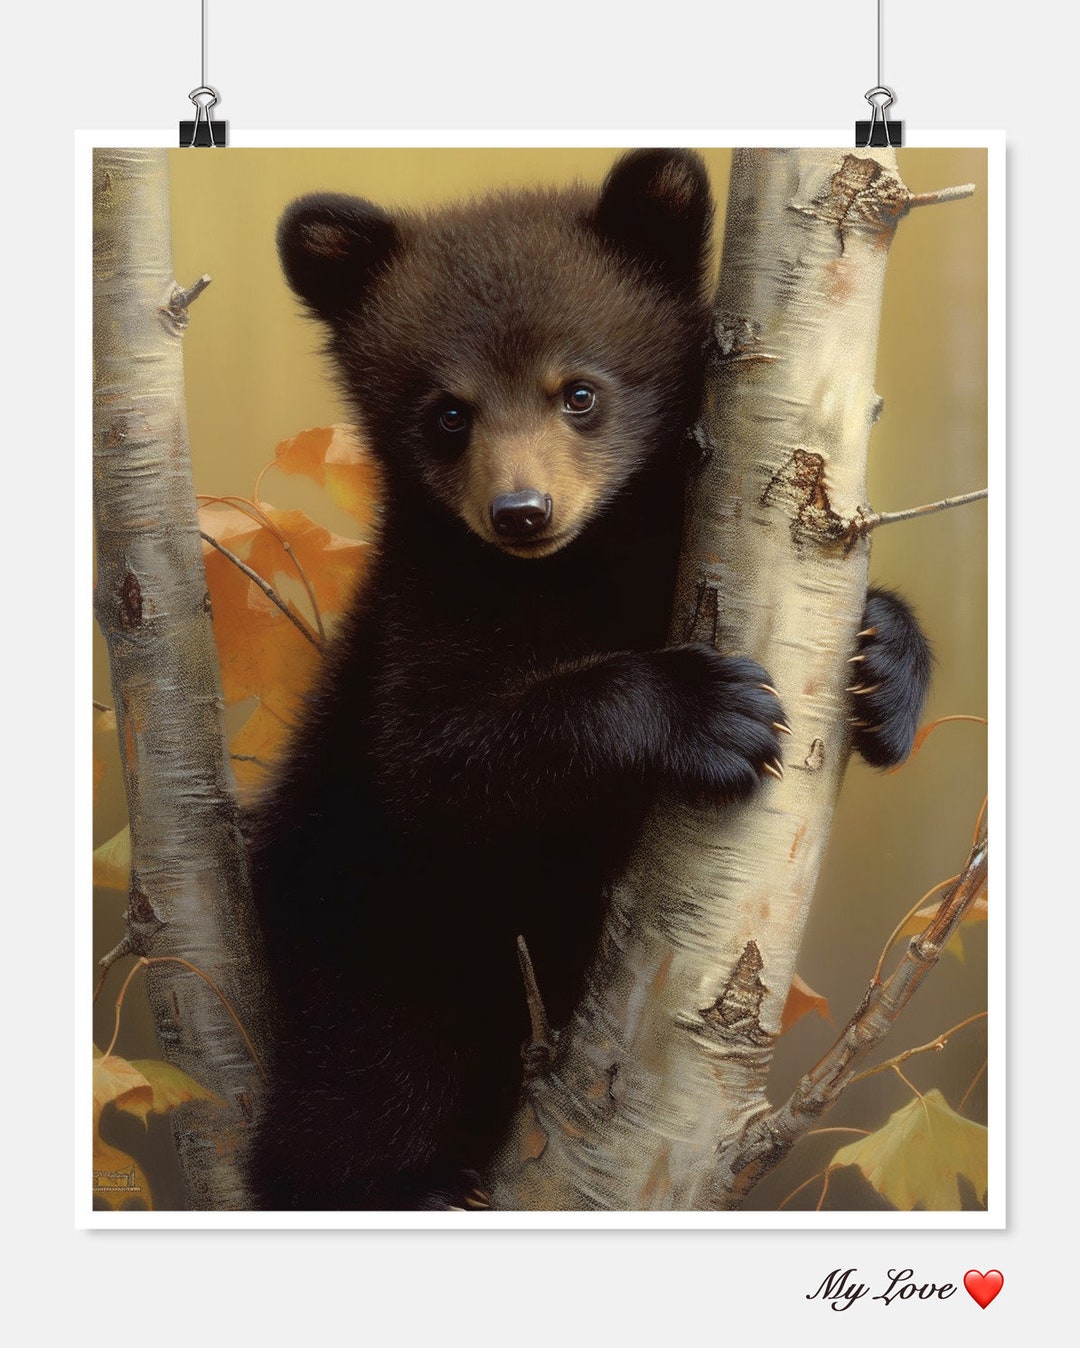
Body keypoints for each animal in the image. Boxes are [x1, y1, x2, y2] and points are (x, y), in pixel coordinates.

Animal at [243, 149, 932, 1210]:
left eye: (579, 391)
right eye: (448, 412)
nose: (521, 512)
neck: (579, 572)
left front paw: (885, 664)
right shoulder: (425, 623)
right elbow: (440, 759)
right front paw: (710, 709)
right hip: (376, 940)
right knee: (357, 1096)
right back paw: (408, 1182)